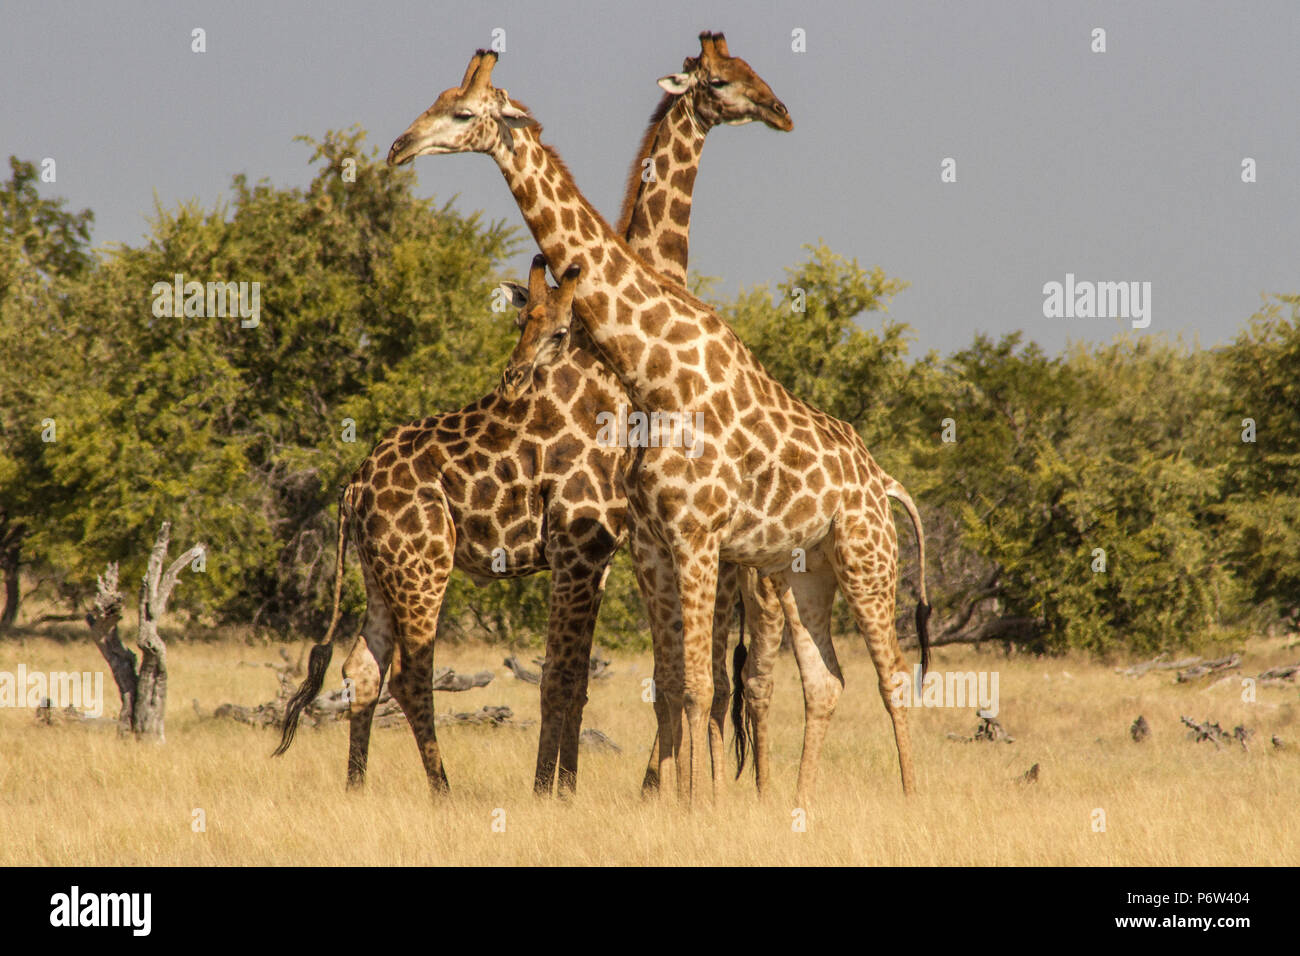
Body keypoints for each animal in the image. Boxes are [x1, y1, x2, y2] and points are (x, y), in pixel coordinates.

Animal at [275, 35, 794, 799]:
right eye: (726, 81)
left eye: (459, 110)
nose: (780, 109)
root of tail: (351, 490)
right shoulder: (586, 545)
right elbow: (570, 679)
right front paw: (561, 791)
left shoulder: (595, 552)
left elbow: (580, 680)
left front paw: (568, 786)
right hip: (422, 566)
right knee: (411, 676)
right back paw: (444, 793)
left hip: (381, 571)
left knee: (363, 669)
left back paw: (358, 788)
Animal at [386, 49, 932, 806]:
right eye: (437, 101)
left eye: (462, 112)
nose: (397, 147)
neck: (652, 373)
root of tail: (885, 483)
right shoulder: (652, 546)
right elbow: (672, 683)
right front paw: (682, 801)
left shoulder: (693, 539)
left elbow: (695, 684)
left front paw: (695, 804)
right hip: (804, 573)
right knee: (824, 681)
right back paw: (796, 803)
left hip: (863, 559)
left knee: (889, 678)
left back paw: (907, 799)